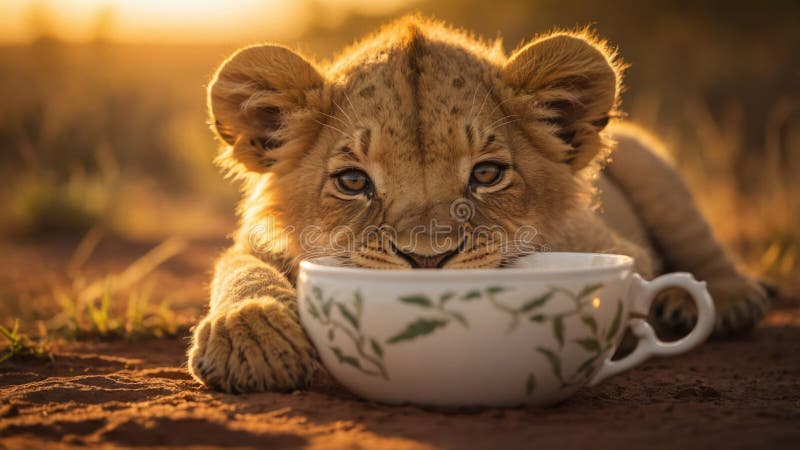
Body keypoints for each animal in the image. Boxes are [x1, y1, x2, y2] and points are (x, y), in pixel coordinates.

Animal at [187, 16, 769, 393]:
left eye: (486, 174)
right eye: (353, 181)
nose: (426, 262)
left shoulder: (616, 247)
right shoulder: (256, 244)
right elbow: (242, 272)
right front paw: (253, 340)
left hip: (649, 162)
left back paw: (728, 300)